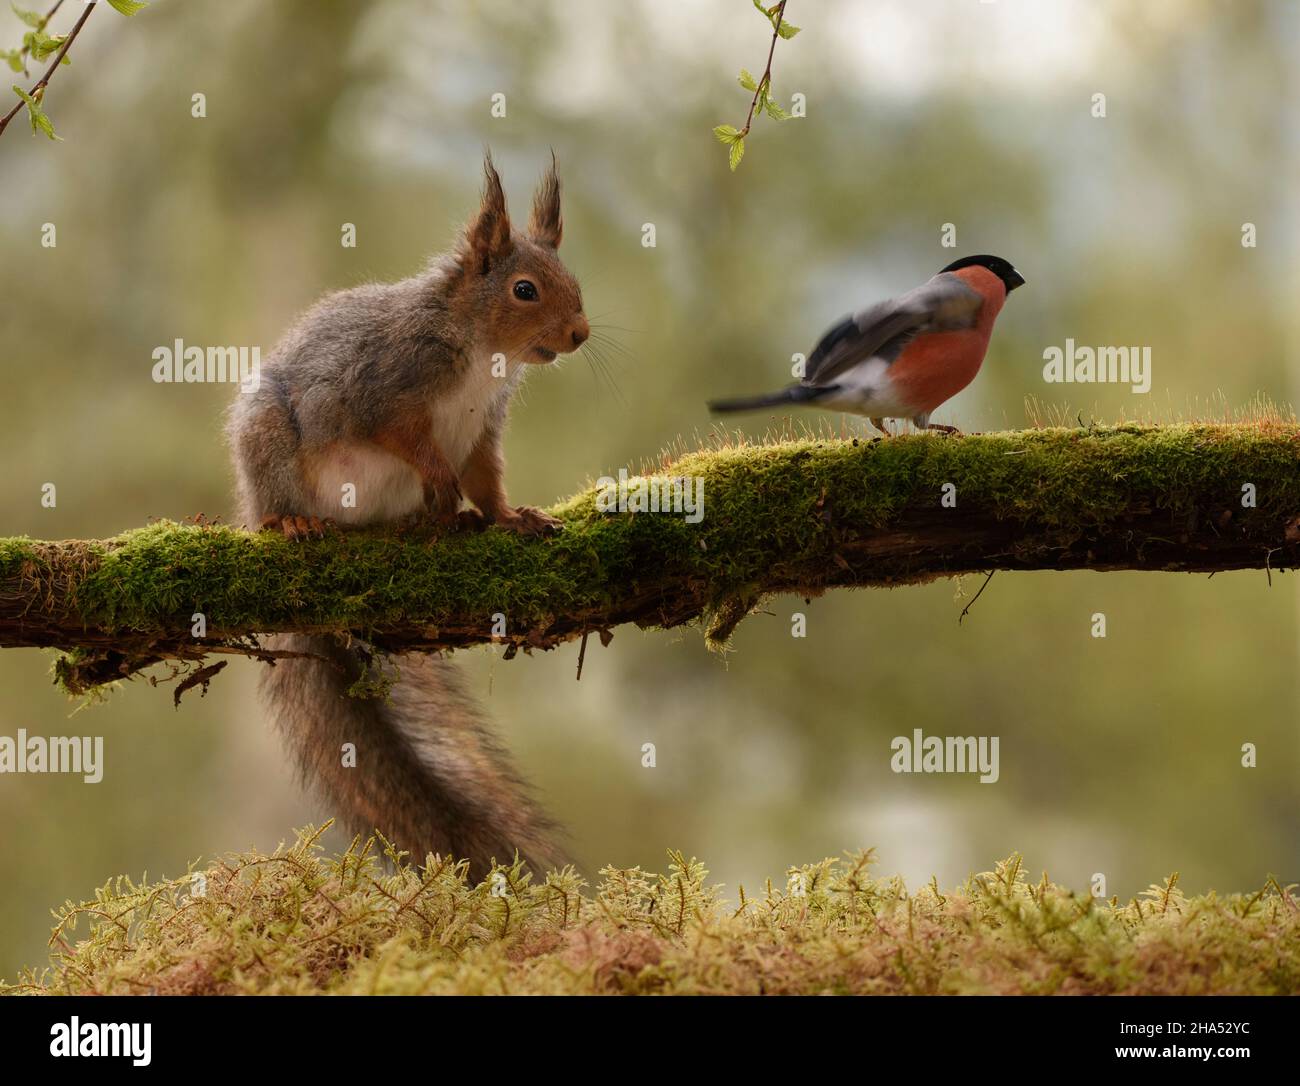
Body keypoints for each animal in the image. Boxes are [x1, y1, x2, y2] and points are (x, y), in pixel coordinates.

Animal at [225, 154, 589, 880]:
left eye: (576, 283)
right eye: (526, 290)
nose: (580, 335)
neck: (480, 351)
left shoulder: (481, 430)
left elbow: (486, 479)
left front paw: (508, 516)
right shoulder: (381, 391)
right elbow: (408, 442)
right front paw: (443, 489)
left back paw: (422, 526)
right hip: (269, 450)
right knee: (278, 502)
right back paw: (297, 524)